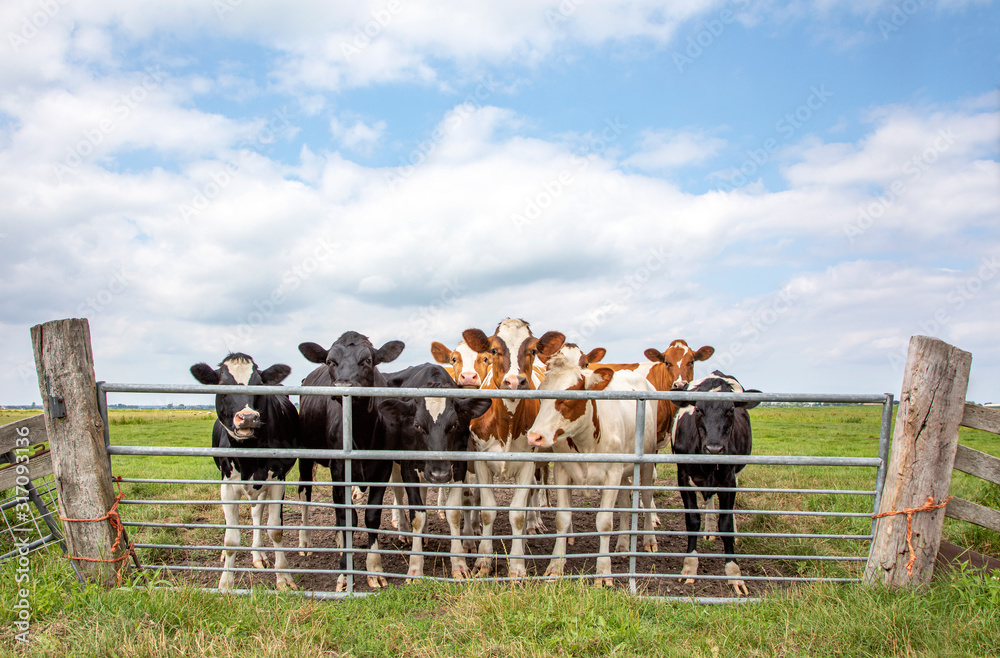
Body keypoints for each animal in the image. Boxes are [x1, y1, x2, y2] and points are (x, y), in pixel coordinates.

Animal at [189, 353, 298, 592]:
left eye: (259, 384)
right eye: (222, 384)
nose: (248, 417)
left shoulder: (277, 480)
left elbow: (275, 529)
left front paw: (284, 578)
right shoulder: (228, 485)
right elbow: (231, 538)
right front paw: (225, 583)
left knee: (257, 513)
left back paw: (258, 555)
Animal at [296, 331, 405, 591]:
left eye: (367, 360)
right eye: (330, 361)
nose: (343, 385)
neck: (362, 432)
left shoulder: (382, 469)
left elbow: (371, 516)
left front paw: (375, 568)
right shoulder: (338, 469)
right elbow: (347, 516)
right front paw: (345, 572)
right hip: (305, 452)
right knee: (305, 491)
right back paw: (305, 542)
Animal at [380, 364, 491, 581]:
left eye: (454, 425)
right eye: (417, 425)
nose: (438, 475)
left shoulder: (458, 466)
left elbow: (453, 513)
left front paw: (459, 564)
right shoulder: (408, 467)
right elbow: (416, 515)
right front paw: (415, 568)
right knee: (398, 492)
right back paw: (404, 532)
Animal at [526, 337, 659, 586]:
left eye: (568, 397)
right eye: (540, 393)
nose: (534, 436)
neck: (586, 440)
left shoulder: (612, 474)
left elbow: (604, 522)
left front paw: (603, 572)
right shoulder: (562, 470)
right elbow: (562, 518)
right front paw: (555, 567)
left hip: (646, 461)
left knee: (645, 498)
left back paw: (649, 541)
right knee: (625, 504)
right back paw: (623, 545)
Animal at [671, 370, 759, 596]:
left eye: (731, 409)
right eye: (698, 409)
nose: (714, 448)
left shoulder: (729, 479)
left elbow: (726, 523)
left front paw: (734, 572)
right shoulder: (683, 477)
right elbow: (692, 520)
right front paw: (690, 565)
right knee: (709, 499)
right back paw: (709, 531)